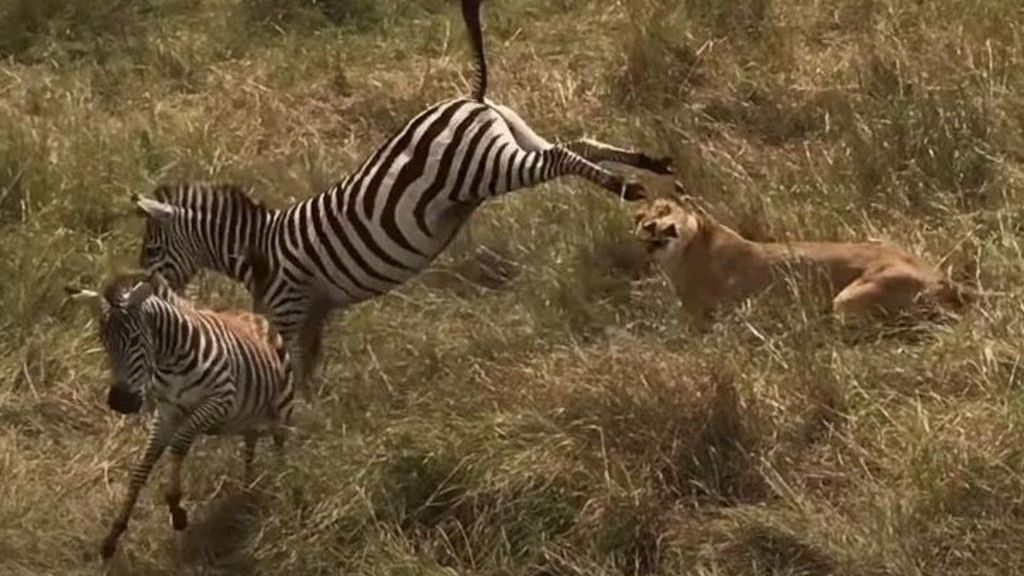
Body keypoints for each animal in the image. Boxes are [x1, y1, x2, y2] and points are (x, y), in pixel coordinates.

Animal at [65, 272, 294, 560]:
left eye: (135, 340)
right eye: (103, 342)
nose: (120, 403)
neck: (171, 360)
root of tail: (253, 315)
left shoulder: (219, 400)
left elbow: (178, 446)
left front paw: (176, 507)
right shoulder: (167, 411)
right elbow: (142, 468)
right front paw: (113, 534)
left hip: (281, 408)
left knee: (281, 445)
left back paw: (282, 487)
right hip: (247, 416)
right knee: (250, 444)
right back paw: (248, 487)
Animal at [133, 0, 672, 391]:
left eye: (151, 248)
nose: (147, 288)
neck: (255, 249)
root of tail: (469, 97)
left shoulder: (290, 308)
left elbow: (289, 369)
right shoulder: (315, 313)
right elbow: (307, 370)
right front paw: (312, 421)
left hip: (489, 166)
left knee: (561, 157)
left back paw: (627, 185)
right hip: (512, 133)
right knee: (578, 144)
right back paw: (649, 165)